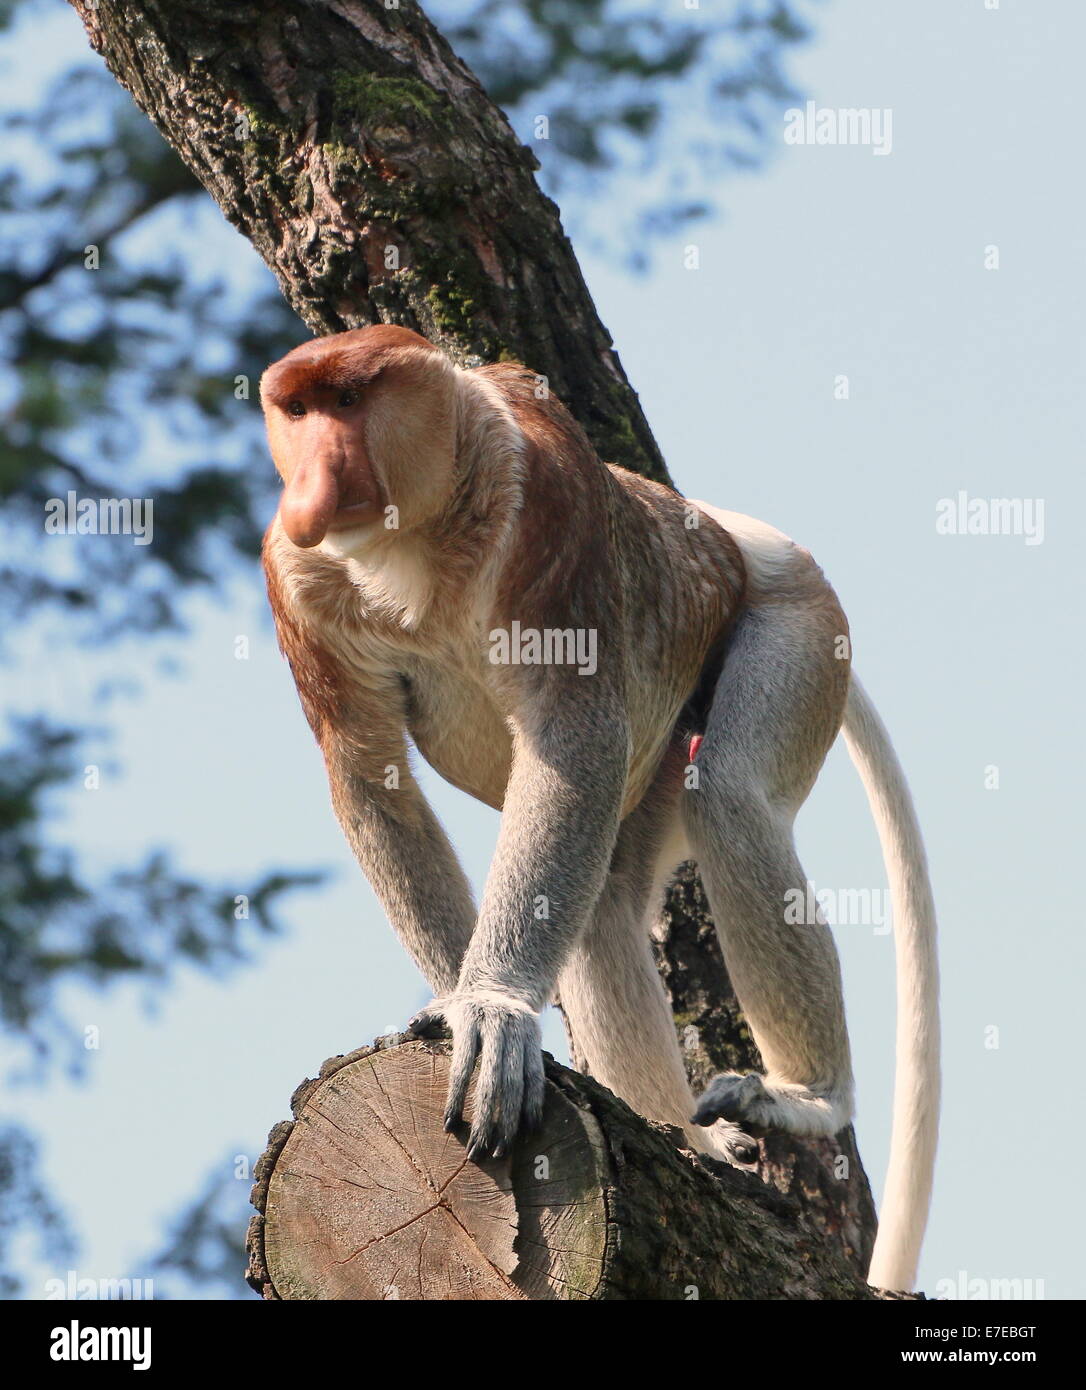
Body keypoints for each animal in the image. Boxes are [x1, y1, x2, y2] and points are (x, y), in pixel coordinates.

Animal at [259, 324, 939, 1291]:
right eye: (296, 409)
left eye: (348, 402)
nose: (313, 485)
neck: (416, 542)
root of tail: (733, 531)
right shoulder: (295, 576)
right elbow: (366, 770)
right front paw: (461, 1009)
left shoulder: (550, 500)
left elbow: (569, 727)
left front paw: (492, 1012)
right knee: (605, 913)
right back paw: (691, 1143)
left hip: (798, 617)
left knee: (730, 796)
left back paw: (803, 1099)